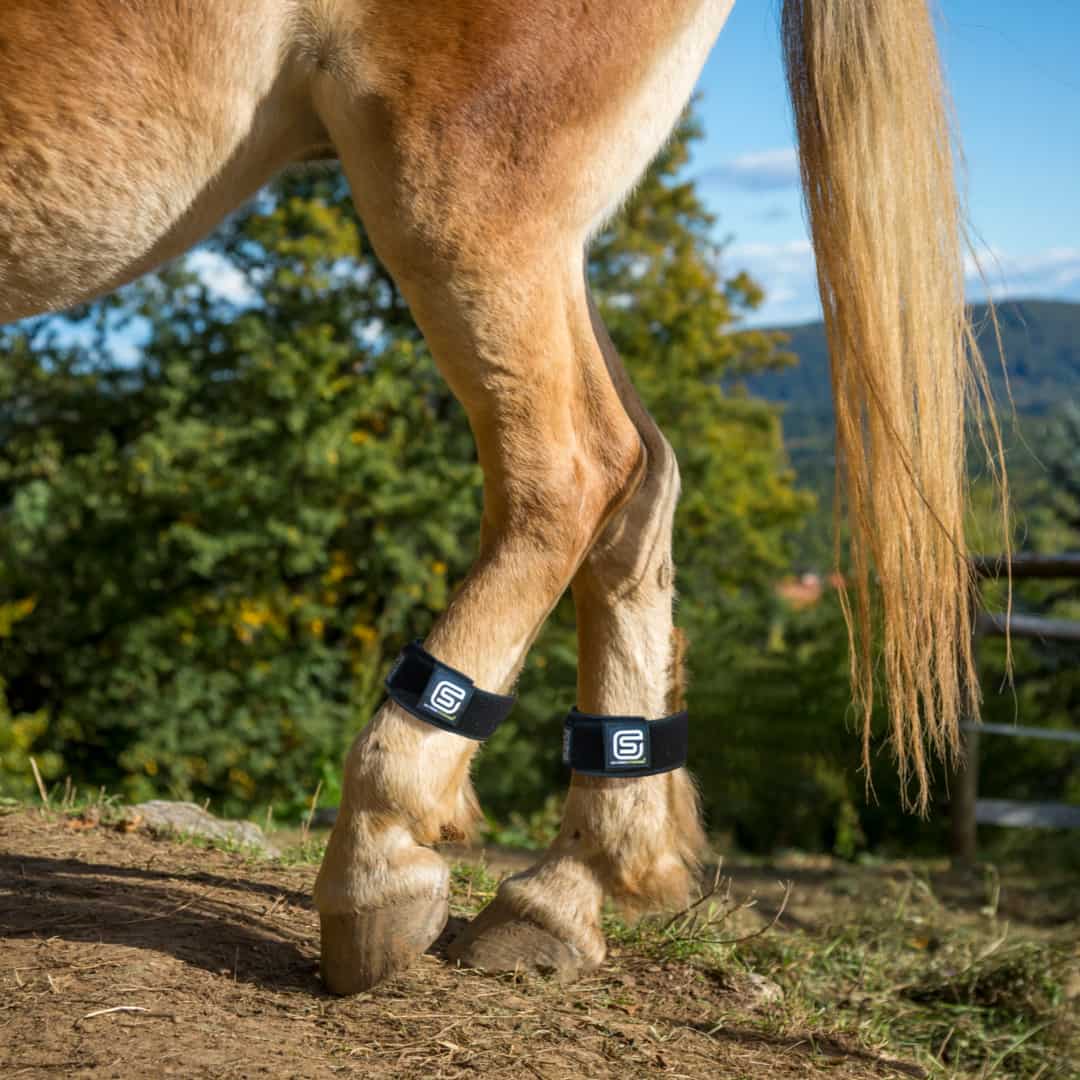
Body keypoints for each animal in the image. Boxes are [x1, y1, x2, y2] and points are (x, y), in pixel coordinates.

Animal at [0, 0, 997, 994]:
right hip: (553, 235)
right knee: (646, 474)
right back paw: (567, 885)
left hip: (470, 185)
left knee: (571, 473)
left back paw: (382, 854)